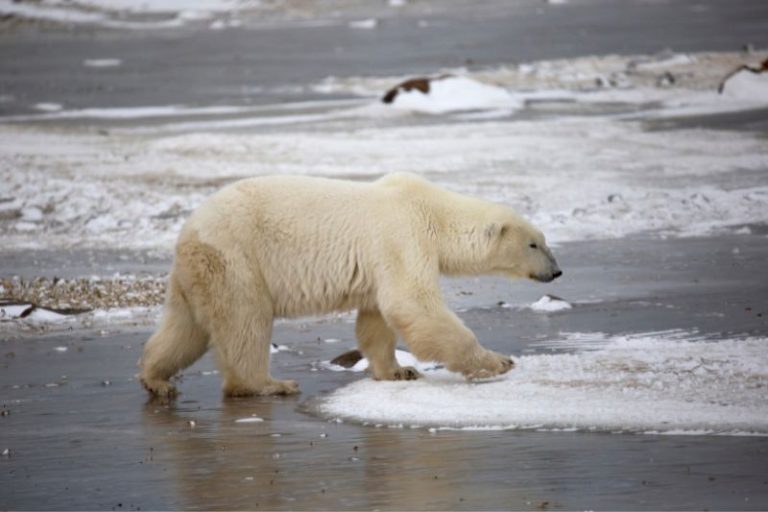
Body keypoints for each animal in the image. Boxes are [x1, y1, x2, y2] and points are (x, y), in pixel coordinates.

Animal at [139, 173, 561, 398]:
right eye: (534, 244)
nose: (556, 271)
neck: (431, 211)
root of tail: (188, 231)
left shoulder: (380, 263)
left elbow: (377, 318)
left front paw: (399, 371)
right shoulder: (402, 237)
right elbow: (413, 304)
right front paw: (498, 362)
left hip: (196, 273)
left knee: (184, 329)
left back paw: (156, 379)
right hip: (236, 259)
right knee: (246, 322)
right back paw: (270, 384)